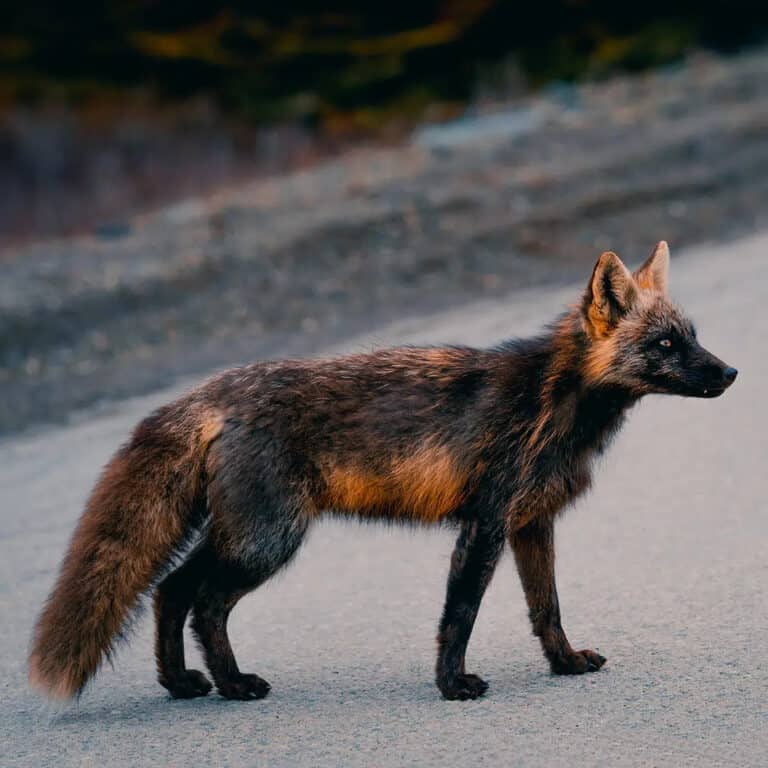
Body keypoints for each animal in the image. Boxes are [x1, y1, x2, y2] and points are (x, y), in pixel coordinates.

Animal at [29, 242, 738, 703]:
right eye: (666, 345)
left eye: (693, 337)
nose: (731, 372)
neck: (552, 401)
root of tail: (212, 389)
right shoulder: (485, 523)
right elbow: (460, 615)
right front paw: (452, 685)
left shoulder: (531, 523)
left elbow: (548, 610)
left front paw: (564, 665)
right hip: (267, 543)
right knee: (202, 603)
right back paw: (232, 685)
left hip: (243, 538)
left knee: (170, 591)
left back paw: (181, 684)